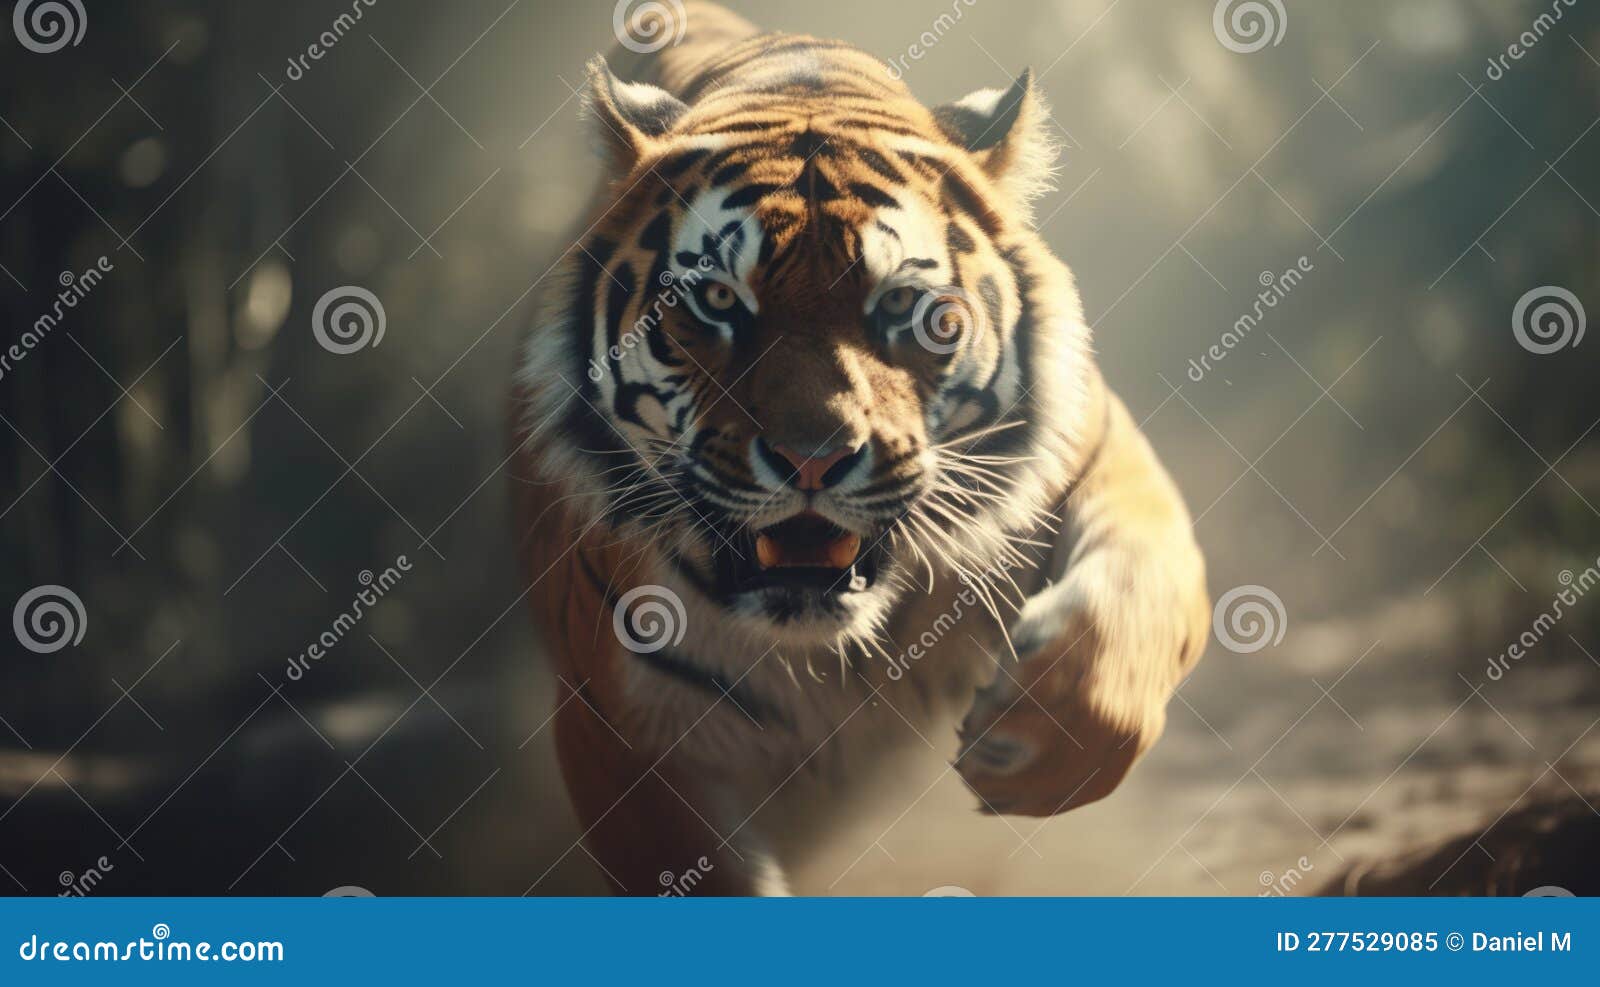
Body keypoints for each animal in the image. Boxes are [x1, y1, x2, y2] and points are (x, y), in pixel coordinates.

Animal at [511, 1, 1209, 895]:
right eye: (715, 300)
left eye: (906, 305)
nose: (814, 457)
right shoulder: (625, 741)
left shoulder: (1102, 455)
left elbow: (1140, 588)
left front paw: (1031, 743)